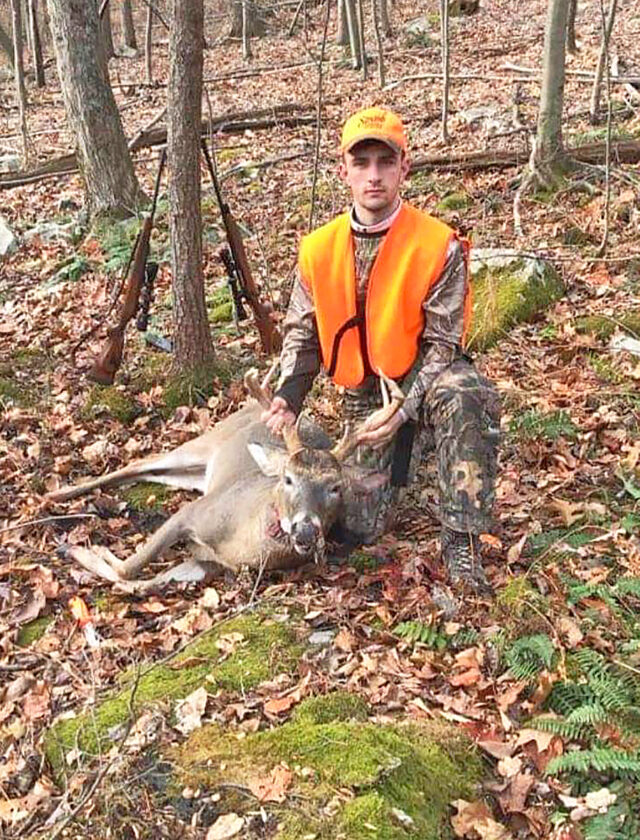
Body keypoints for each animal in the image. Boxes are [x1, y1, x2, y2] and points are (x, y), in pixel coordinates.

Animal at [48, 368, 404, 594]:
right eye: (288, 479)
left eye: (335, 488)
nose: (305, 530)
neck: (243, 543)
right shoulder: (191, 513)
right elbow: (128, 568)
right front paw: (80, 548)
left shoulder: (212, 563)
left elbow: (140, 583)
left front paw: (83, 551)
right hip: (205, 443)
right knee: (141, 461)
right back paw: (57, 495)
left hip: (195, 476)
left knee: (152, 472)